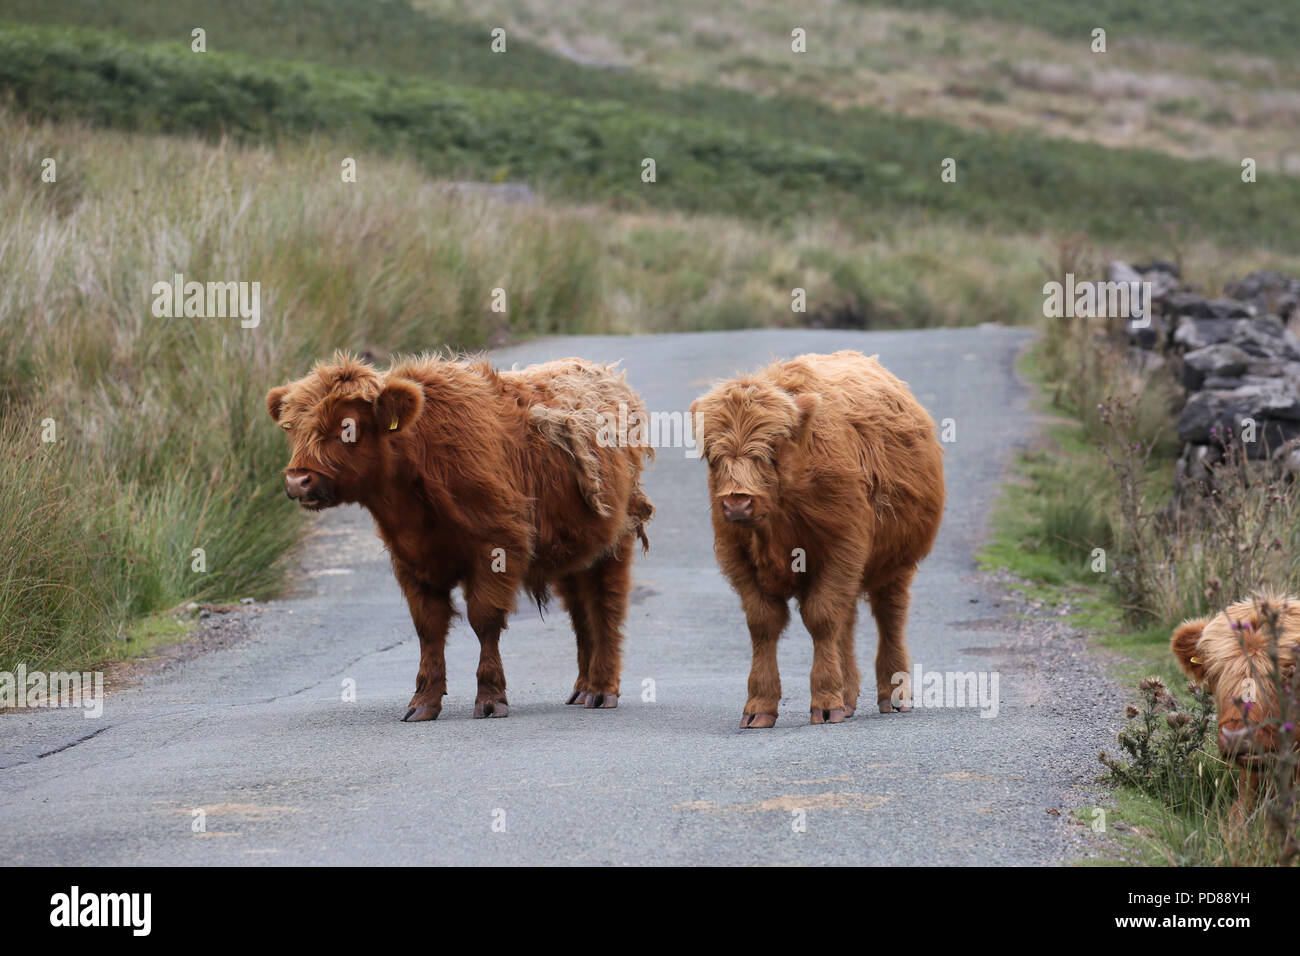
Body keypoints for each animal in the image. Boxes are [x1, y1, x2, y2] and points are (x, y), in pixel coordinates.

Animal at [266, 352, 653, 722]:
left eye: (348, 427)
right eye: (292, 427)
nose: (298, 479)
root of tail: (606, 375)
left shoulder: (497, 548)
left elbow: (484, 621)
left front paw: (490, 699)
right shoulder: (411, 561)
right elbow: (429, 629)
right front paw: (423, 702)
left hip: (615, 540)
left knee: (606, 607)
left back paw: (602, 690)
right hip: (574, 550)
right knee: (580, 612)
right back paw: (583, 687)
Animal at [690, 350, 945, 727]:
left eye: (773, 446)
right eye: (712, 454)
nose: (737, 501)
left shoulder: (842, 547)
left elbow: (822, 618)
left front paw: (825, 701)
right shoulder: (738, 557)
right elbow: (764, 625)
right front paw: (759, 705)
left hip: (895, 562)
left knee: (889, 615)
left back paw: (894, 695)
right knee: (847, 622)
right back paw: (849, 695)